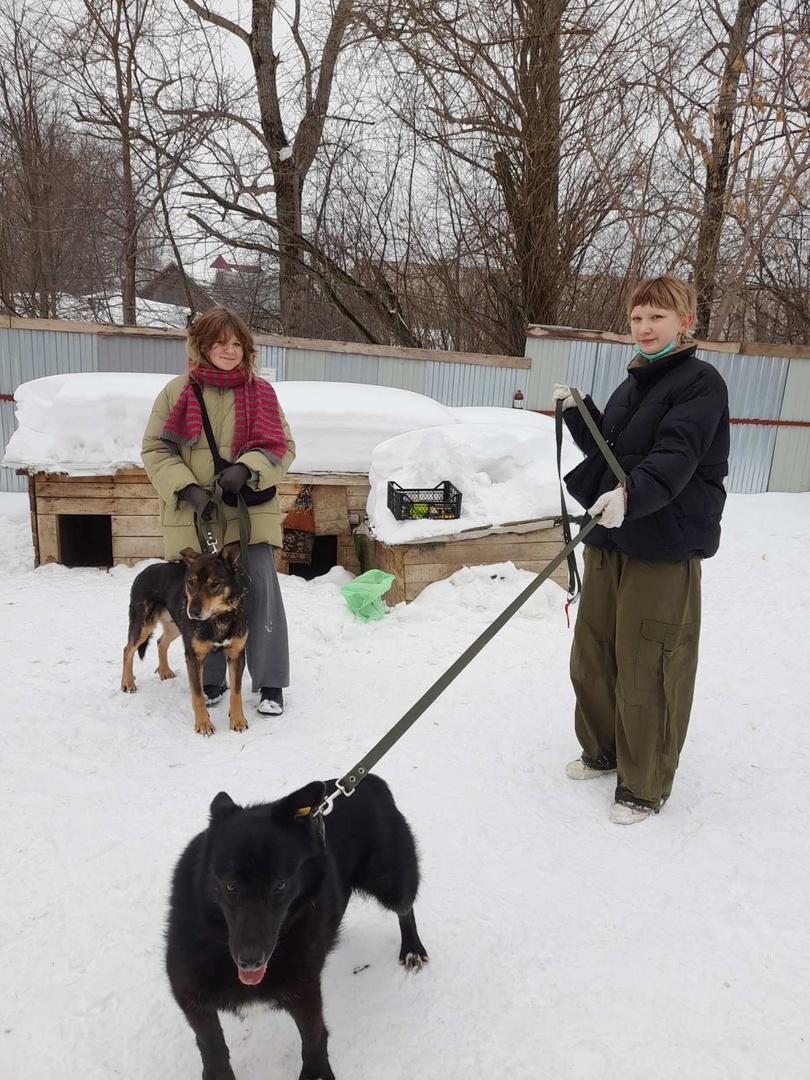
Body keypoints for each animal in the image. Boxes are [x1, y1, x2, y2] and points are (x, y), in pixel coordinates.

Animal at [120, 544, 247, 738]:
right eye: (190, 582)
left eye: (215, 584)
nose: (193, 612)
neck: (218, 618)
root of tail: (144, 571)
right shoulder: (193, 658)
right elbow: (198, 695)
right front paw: (203, 724)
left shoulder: (236, 655)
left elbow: (236, 693)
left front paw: (238, 720)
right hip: (143, 625)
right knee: (128, 649)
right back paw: (127, 683)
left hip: (174, 626)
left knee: (160, 642)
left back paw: (164, 671)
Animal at [166, 777, 432, 1080]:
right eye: (230, 886)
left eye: (280, 885)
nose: (250, 960)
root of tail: (369, 782)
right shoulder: (191, 998)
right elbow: (211, 1045)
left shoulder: (304, 991)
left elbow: (314, 1037)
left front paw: (317, 1072)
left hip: (392, 884)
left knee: (405, 909)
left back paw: (412, 949)